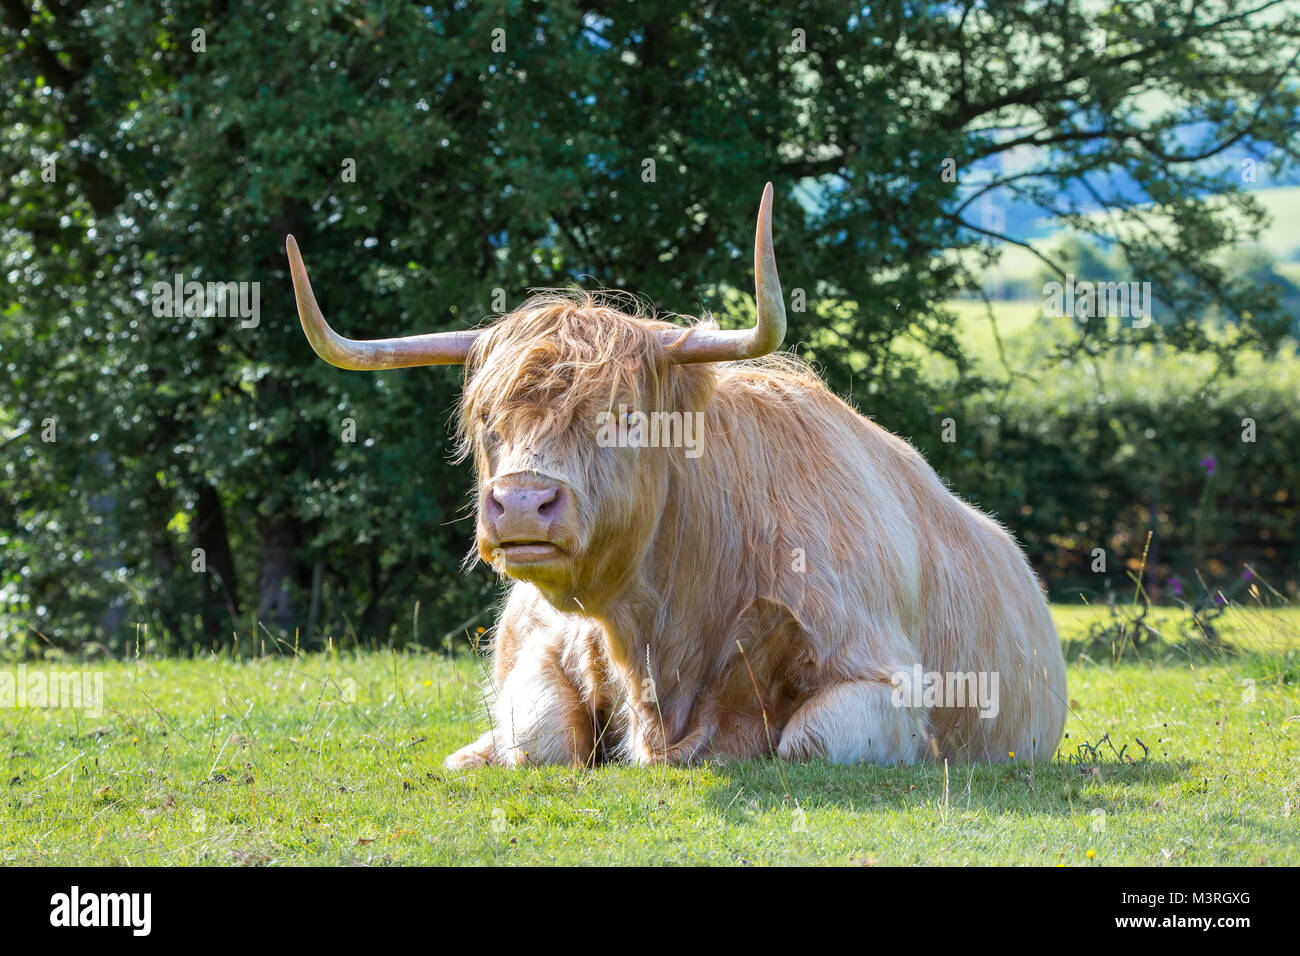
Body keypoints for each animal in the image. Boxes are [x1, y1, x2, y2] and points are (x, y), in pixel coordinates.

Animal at [286, 183, 1068, 768]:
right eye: (487, 421)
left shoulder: (883, 679)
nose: (522, 504)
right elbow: (540, 738)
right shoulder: (539, 647)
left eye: (623, 417)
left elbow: (807, 743)